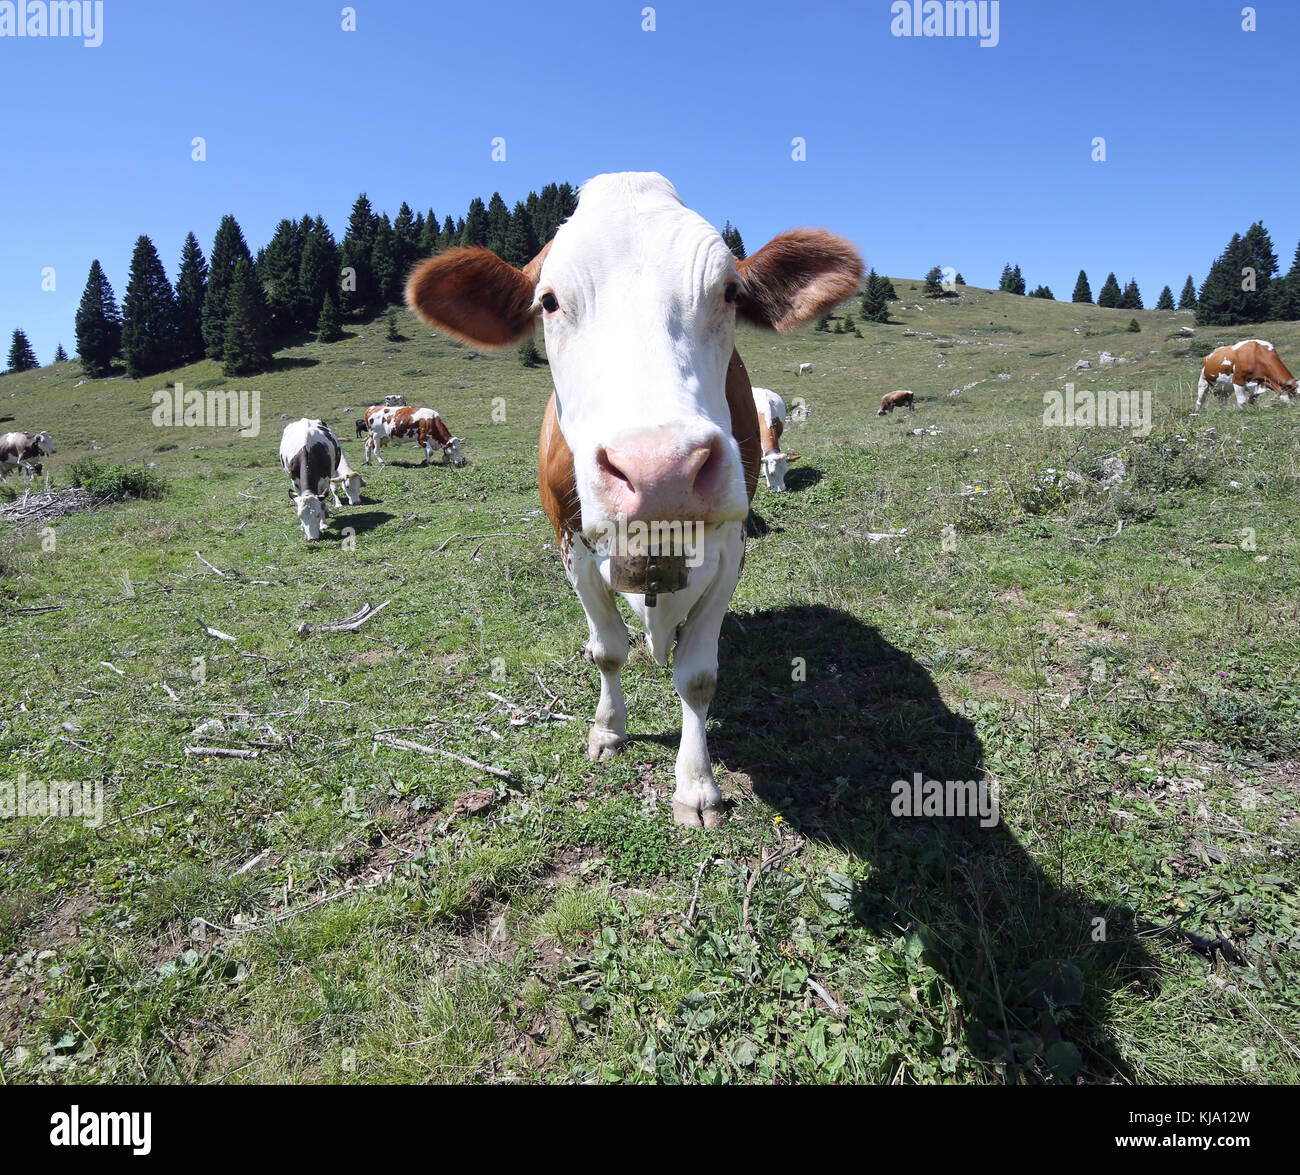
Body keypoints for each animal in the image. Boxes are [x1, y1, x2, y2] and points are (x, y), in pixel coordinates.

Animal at [405, 171, 862, 828]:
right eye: (548, 301)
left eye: (729, 291)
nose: (661, 470)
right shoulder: (570, 543)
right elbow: (608, 650)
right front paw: (608, 730)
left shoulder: (730, 548)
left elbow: (697, 677)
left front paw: (696, 786)